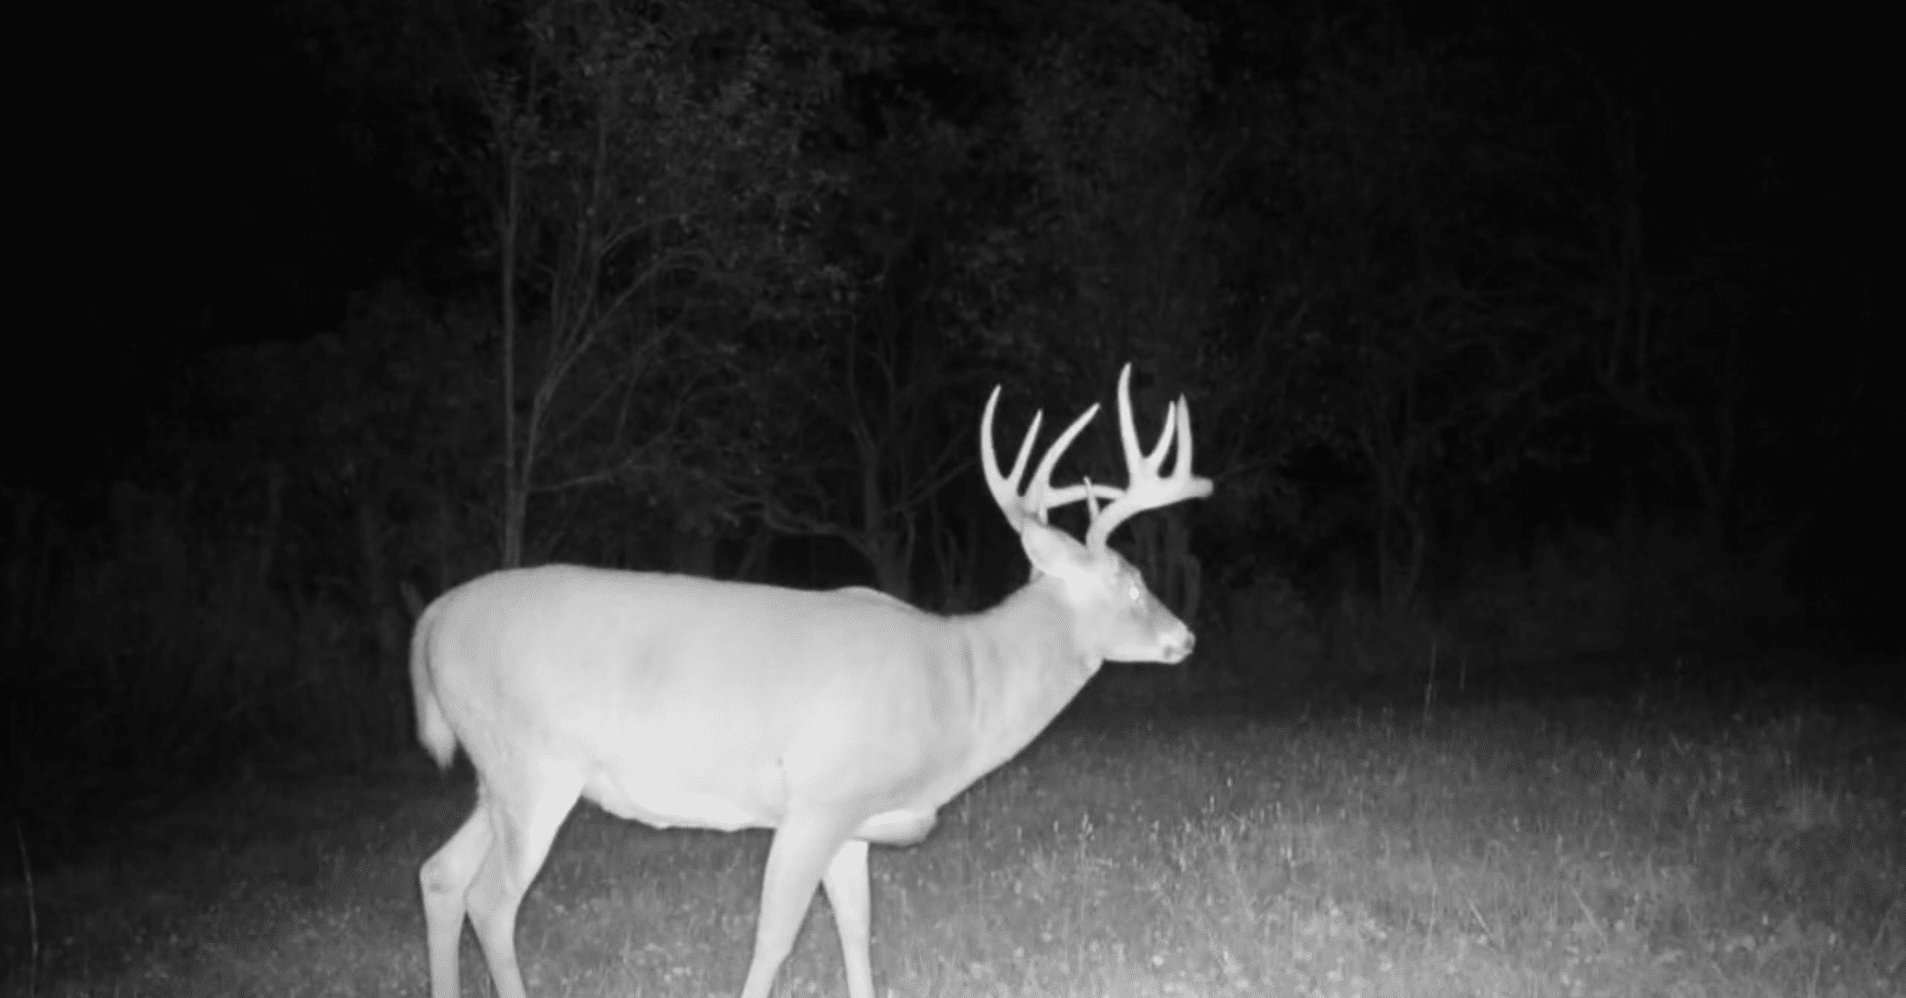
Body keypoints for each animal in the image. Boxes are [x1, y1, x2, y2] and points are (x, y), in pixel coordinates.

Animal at [411, 363, 1214, 998]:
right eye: (1132, 583)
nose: (1185, 637)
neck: (963, 686)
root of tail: (431, 620)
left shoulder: (854, 823)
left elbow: (856, 930)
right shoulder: (817, 801)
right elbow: (775, 938)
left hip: (499, 775)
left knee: (439, 875)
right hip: (534, 766)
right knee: (491, 901)